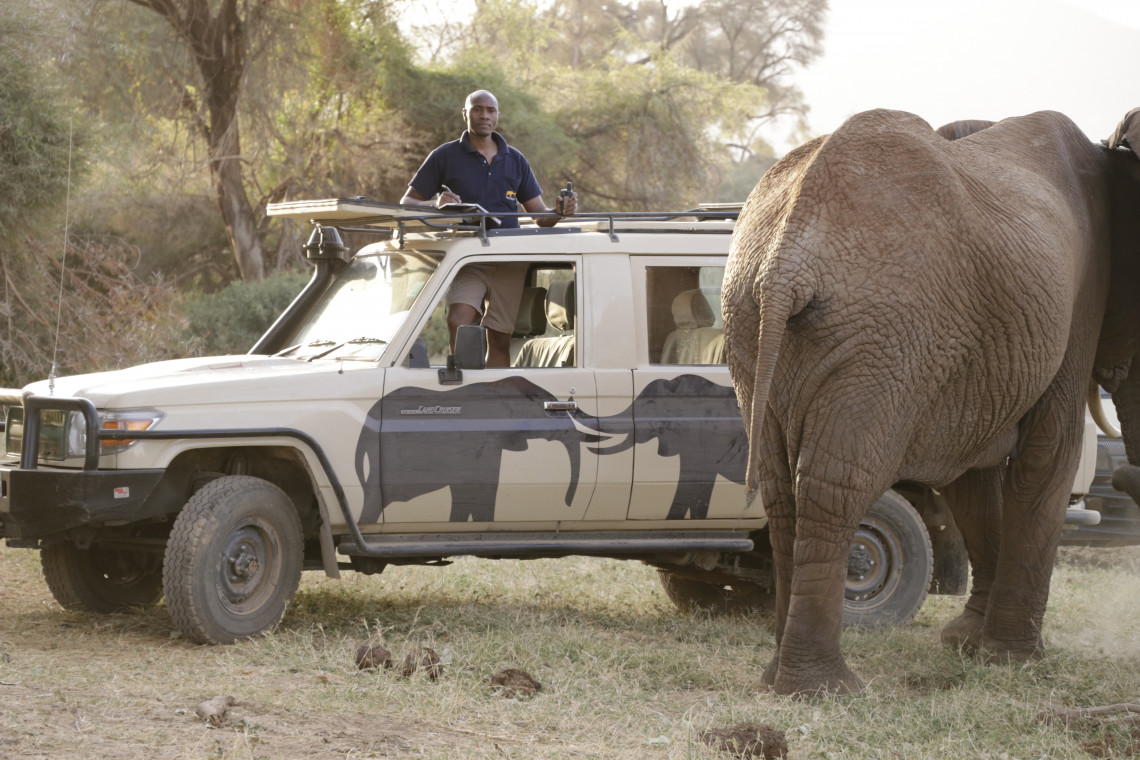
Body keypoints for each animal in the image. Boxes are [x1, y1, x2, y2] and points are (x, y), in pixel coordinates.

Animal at [722, 107, 1140, 695]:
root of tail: (786, 258)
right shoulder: (1077, 301)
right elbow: (1049, 454)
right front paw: (1014, 661)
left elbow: (970, 469)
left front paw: (967, 644)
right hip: (883, 336)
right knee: (837, 482)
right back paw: (824, 688)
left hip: (755, 326)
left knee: (782, 488)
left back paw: (776, 677)